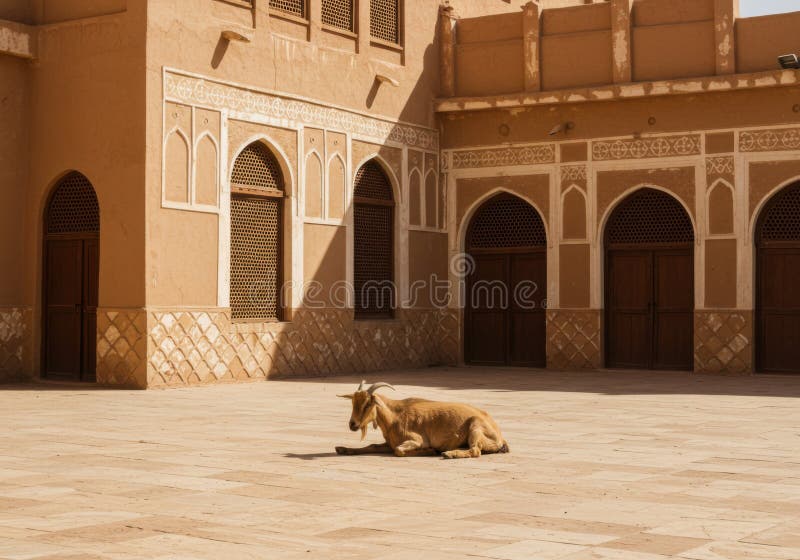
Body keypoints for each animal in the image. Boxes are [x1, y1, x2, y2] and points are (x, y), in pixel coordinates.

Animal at [335, 381, 510, 459]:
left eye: (367, 404)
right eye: (353, 402)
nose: (353, 424)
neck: (393, 417)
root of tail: (500, 437)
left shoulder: (416, 439)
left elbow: (399, 450)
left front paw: (430, 450)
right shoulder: (388, 443)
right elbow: (371, 446)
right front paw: (342, 449)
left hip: (475, 428)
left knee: (475, 451)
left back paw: (448, 453)